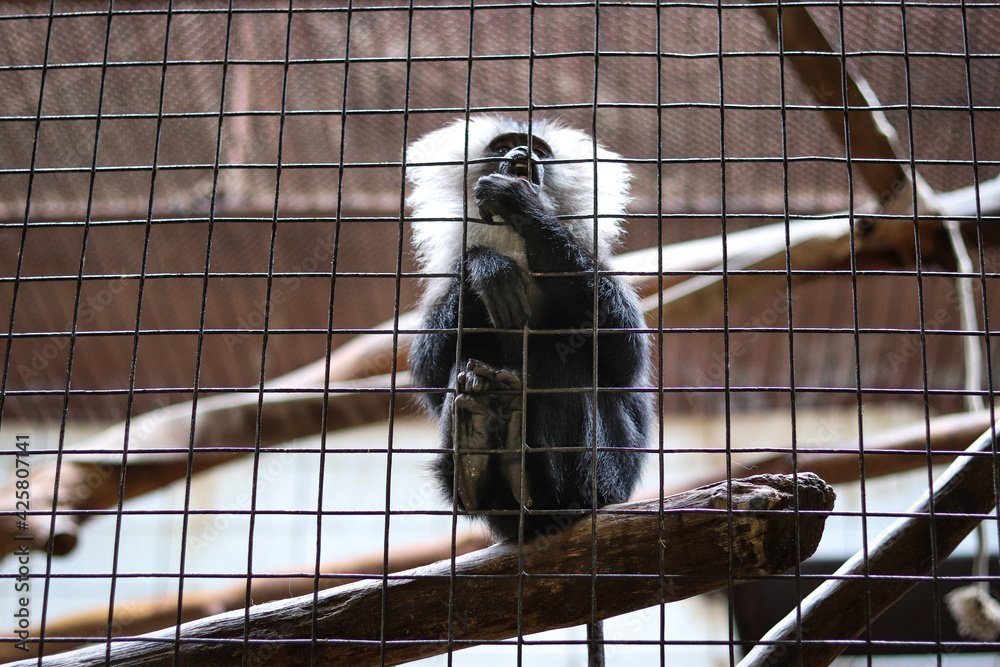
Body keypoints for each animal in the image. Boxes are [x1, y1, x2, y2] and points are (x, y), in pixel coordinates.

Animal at [406, 116, 651, 666]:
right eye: (504, 145)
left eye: (538, 149)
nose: (521, 155)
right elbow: (430, 376)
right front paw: (484, 265)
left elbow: (624, 354)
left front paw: (524, 205)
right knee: (467, 366)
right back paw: (478, 447)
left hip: (611, 473)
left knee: (563, 354)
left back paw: (545, 489)